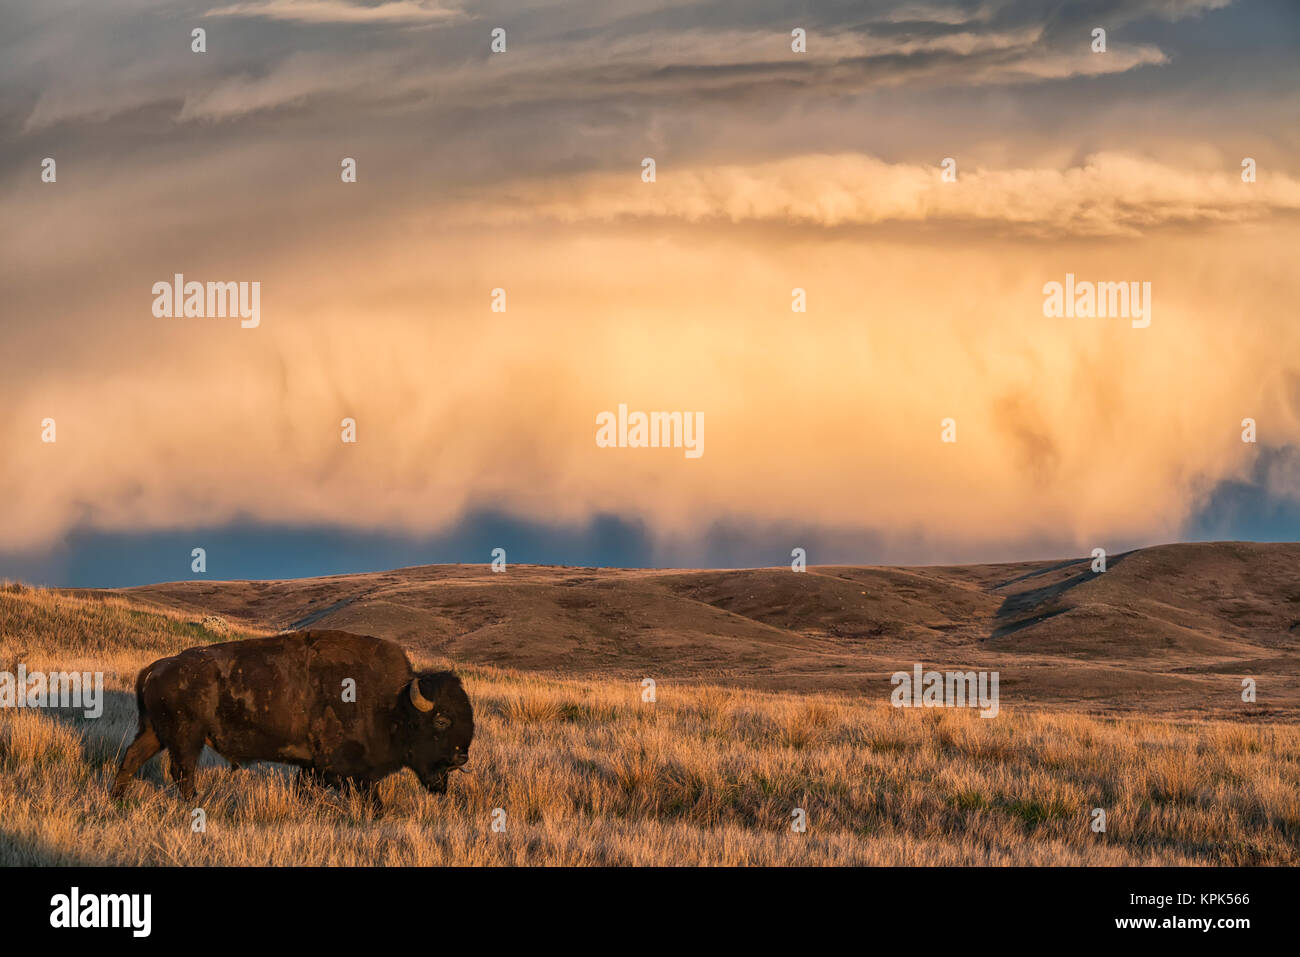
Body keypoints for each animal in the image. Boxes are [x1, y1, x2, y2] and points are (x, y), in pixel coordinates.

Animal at [110, 629, 473, 807]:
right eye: (441, 720)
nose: (461, 757)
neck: (392, 703)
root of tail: (158, 667)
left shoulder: (312, 767)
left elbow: (305, 790)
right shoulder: (346, 771)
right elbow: (371, 800)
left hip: (155, 732)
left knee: (131, 757)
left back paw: (117, 799)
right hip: (186, 737)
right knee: (182, 772)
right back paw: (195, 805)